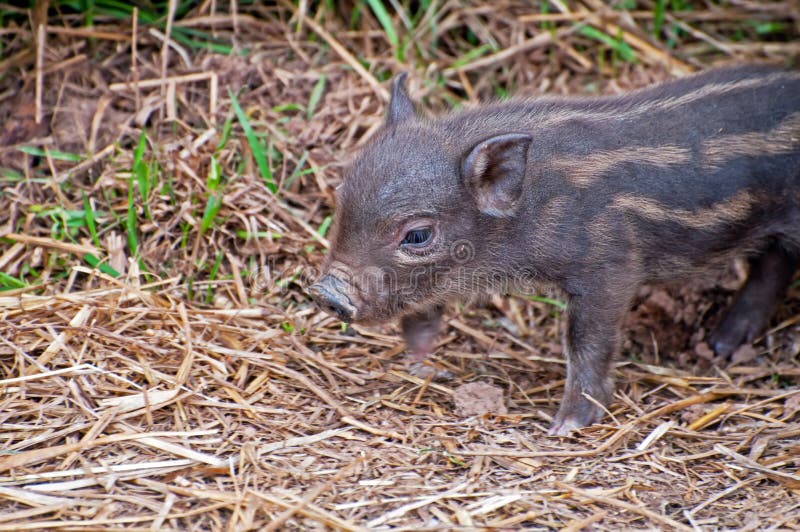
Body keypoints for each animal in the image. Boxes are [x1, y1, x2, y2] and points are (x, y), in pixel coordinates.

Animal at [309, 65, 800, 435]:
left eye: (416, 235)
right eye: (341, 194)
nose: (328, 293)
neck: (534, 203)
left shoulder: (610, 266)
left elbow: (586, 341)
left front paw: (566, 427)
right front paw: (418, 359)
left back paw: (721, 347)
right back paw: (722, 344)